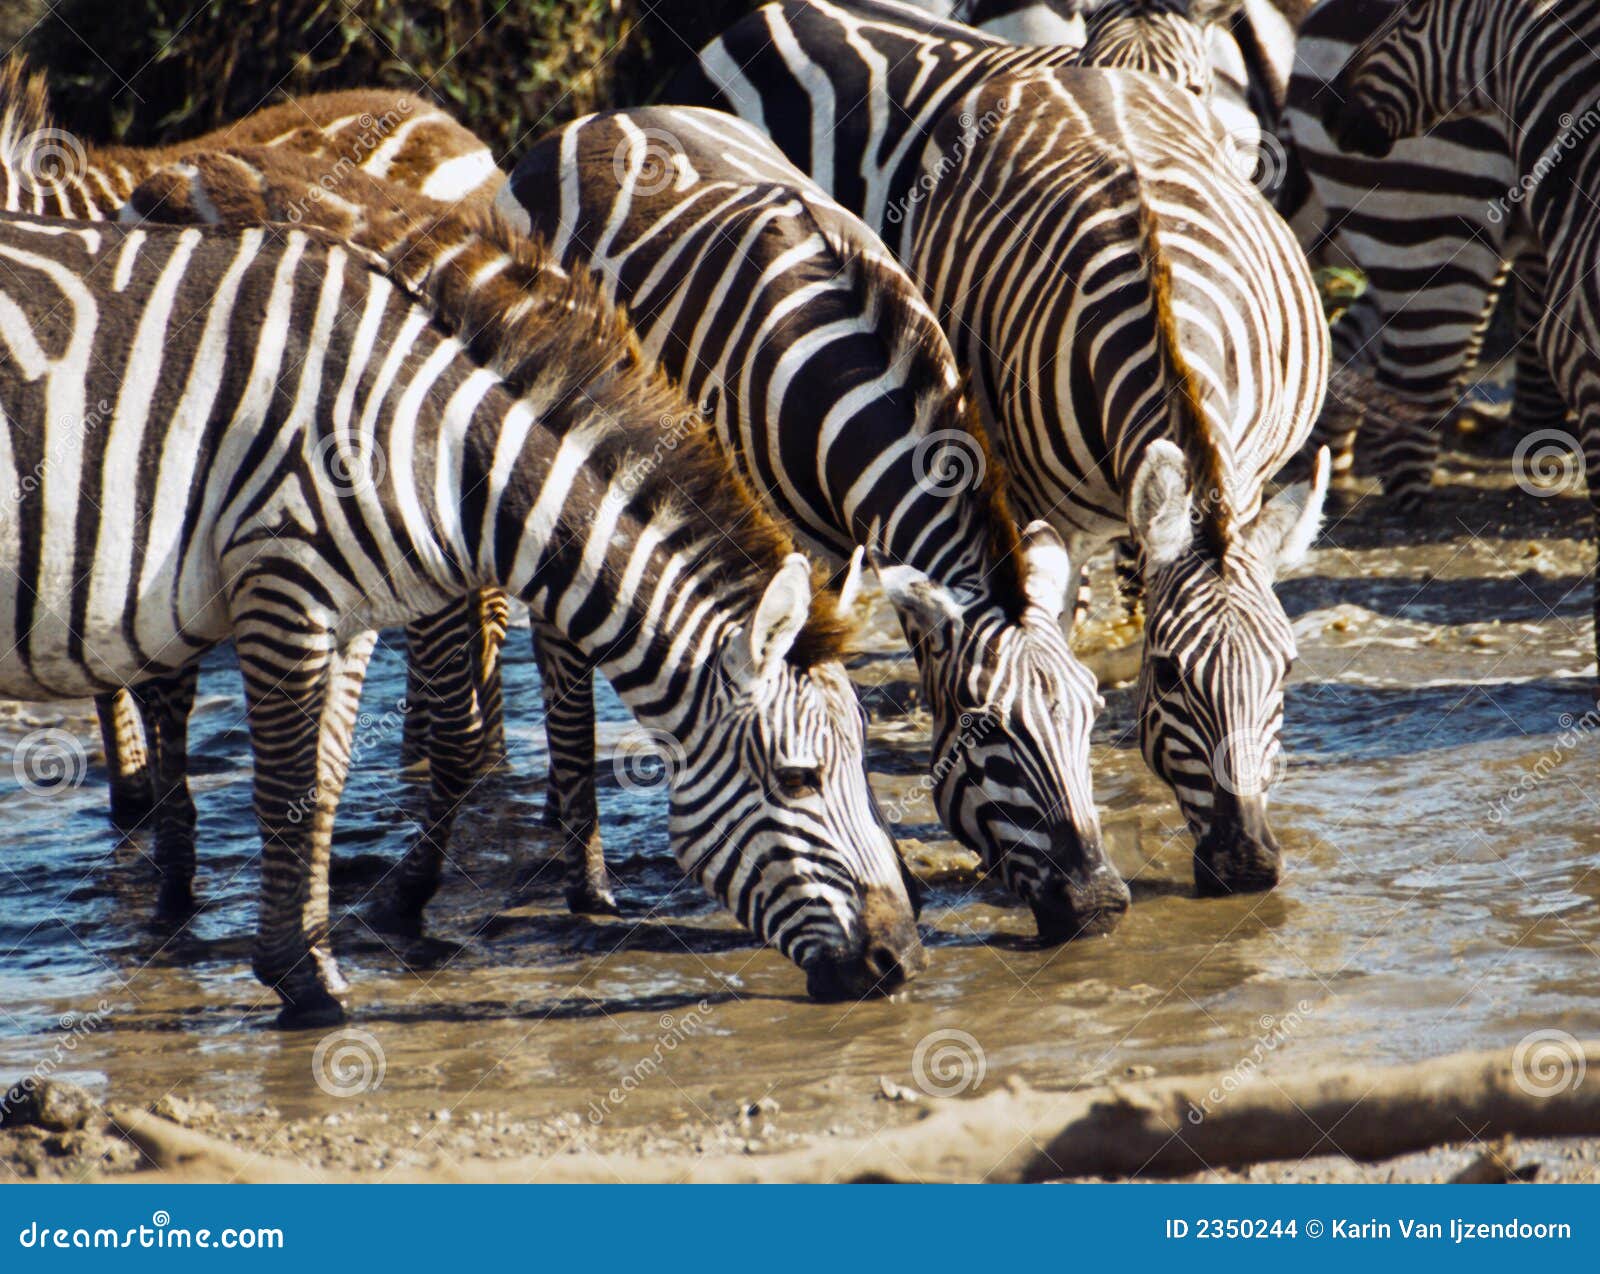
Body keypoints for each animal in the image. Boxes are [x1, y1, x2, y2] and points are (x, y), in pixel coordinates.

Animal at [0, 211, 924, 1021]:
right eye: (799, 779)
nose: (900, 960)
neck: (430, 449)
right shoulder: (281, 575)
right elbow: (286, 788)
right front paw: (308, 986)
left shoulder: (344, 615)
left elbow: (323, 787)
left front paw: (305, 965)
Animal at [490, 104, 1129, 939]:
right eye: (987, 729)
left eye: (1091, 711)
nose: (1101, 907)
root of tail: (600, 117)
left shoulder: (845, 552)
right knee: (558, 651)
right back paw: (586, 874)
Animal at [679, 6, 1332, 893]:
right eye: (1170, 674)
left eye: (1289, 670)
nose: (1248, 866)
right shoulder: (1049, 508)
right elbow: (1049, 640)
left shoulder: (1250, 477)